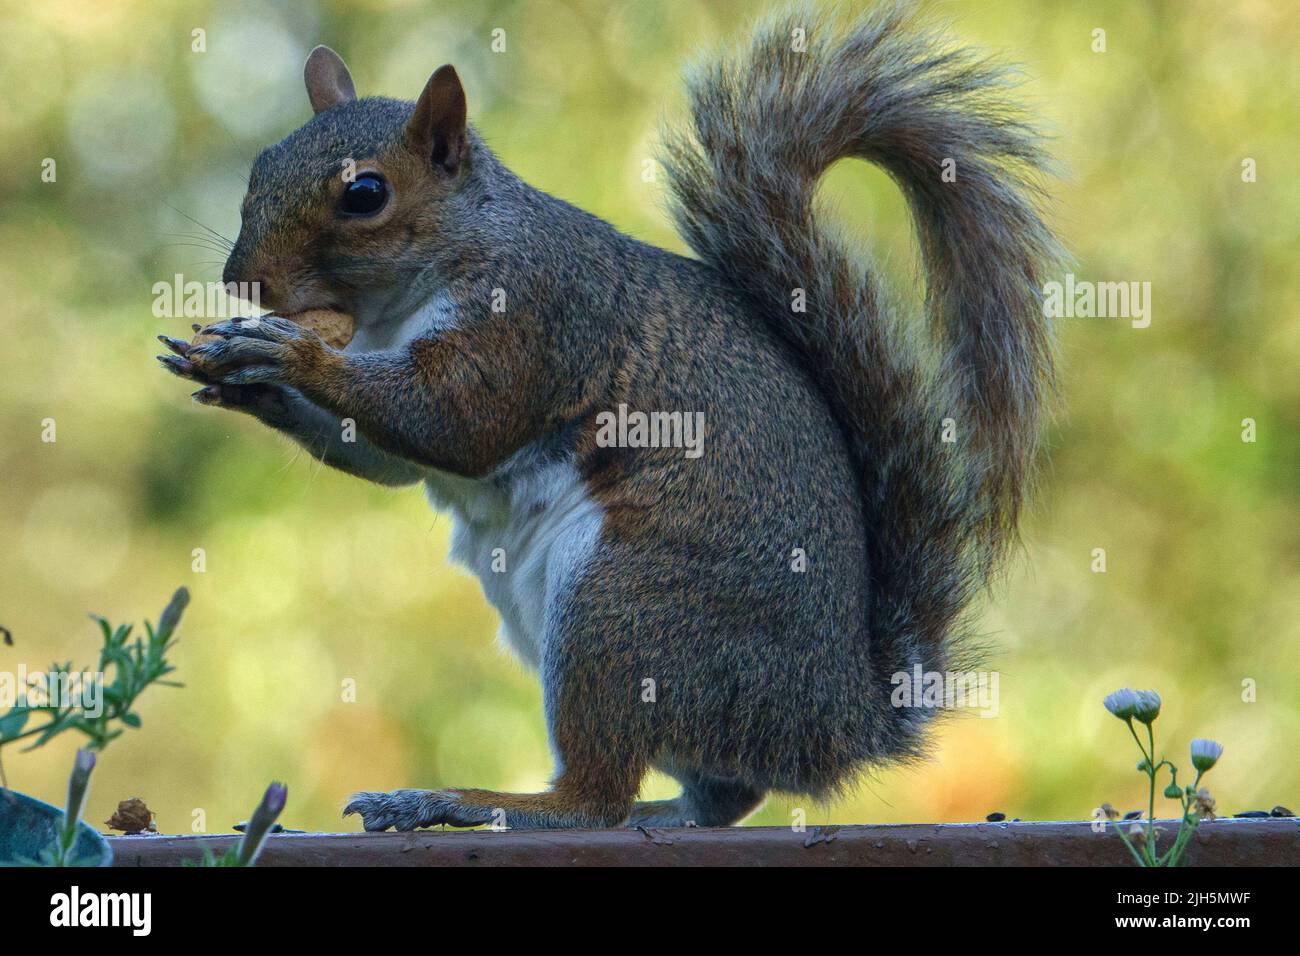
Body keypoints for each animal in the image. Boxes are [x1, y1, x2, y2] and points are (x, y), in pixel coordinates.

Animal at [158, 2, 1058, 830]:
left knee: (595, 799)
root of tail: (838, 723)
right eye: (262, 165)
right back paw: (664, 812)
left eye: (365, 194)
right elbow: (392, 459)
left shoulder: (538, 317)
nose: (243, 281)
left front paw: (288, 359)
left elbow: (454, 421)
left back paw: (465, 801)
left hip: (620, 607)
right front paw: (242, 379)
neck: (399, 303)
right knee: (721, 794)